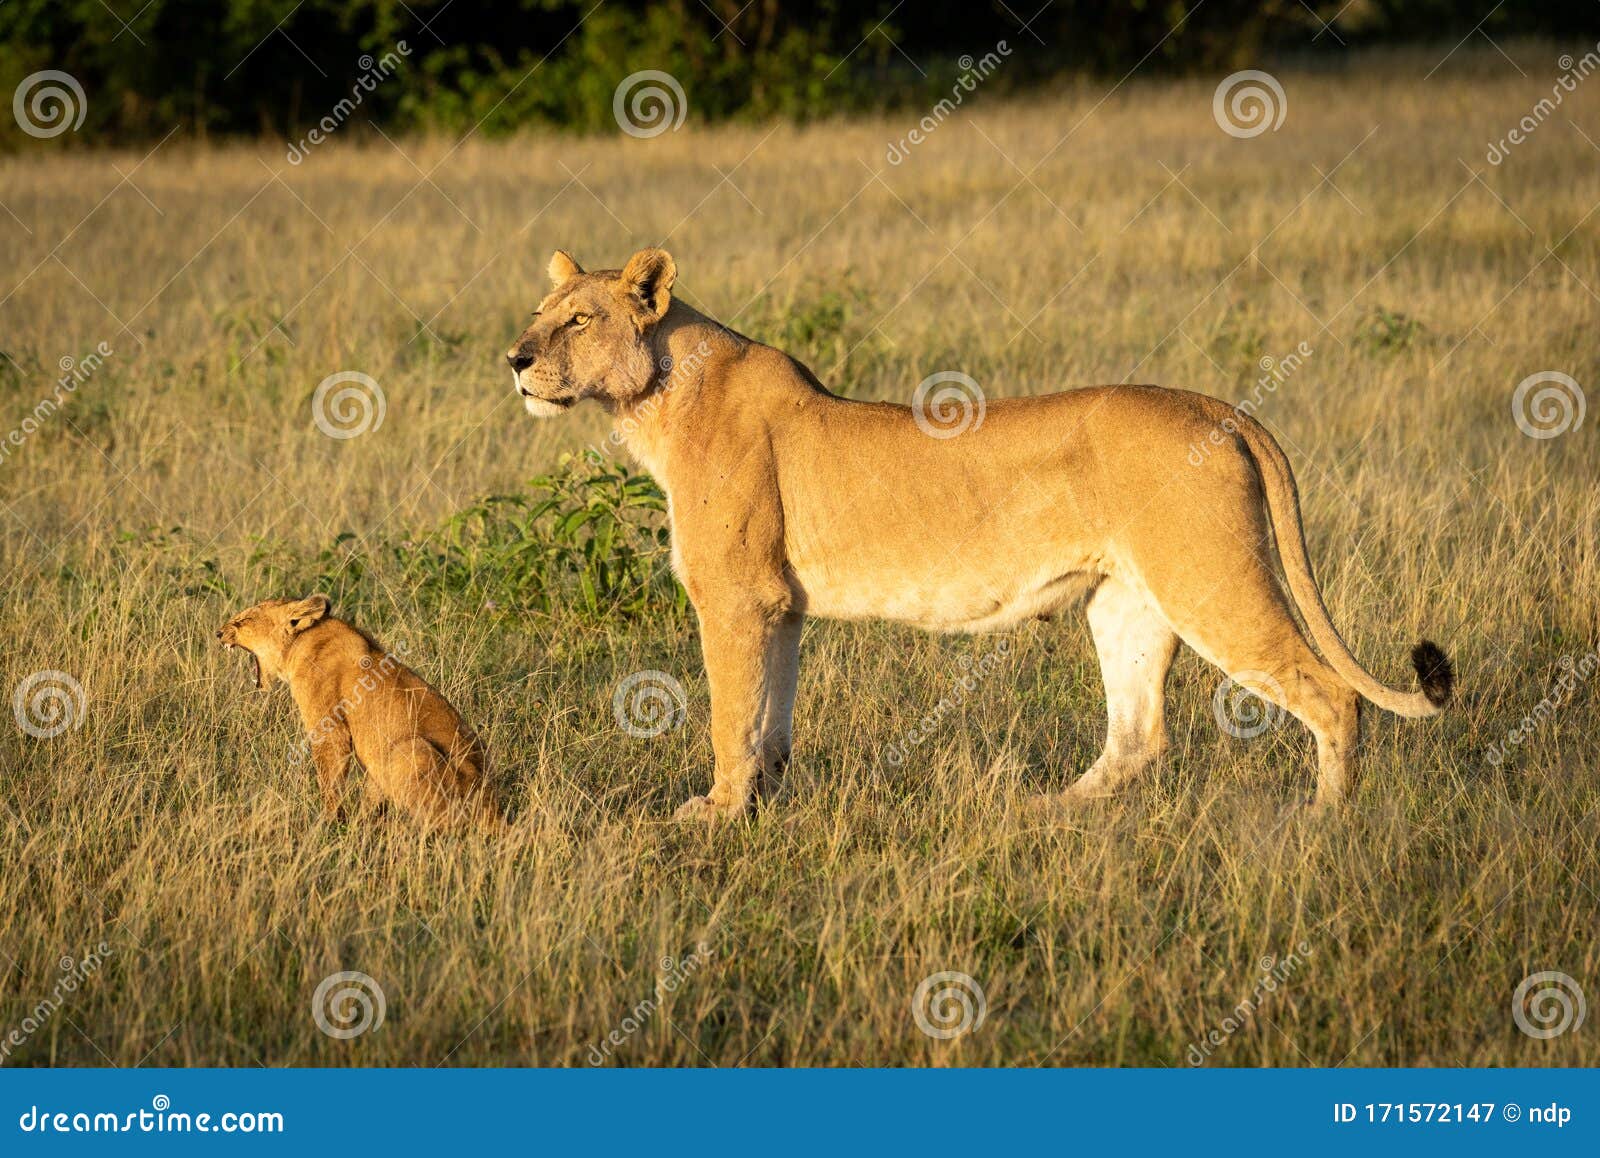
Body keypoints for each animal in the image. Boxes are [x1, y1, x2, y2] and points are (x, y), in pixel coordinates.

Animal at [217, 596, 504, 832]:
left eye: (242, 620)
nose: (218, 633)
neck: (300, 644)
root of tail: (493, 808)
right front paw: (360, 824)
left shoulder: (329, 729)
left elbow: (330, 778)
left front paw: (332, 823)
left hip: (410, 750)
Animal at [505, 248, 1453, 819]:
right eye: (540, 311)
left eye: (579, 319)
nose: (514, 360)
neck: (654, 400)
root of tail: (1221, 406)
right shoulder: (779, 607)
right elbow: (770, 716)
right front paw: (763, 804)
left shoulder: (736, 598)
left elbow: (729, 714)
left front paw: (715, 815)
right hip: (1127, 603)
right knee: (1138, 736)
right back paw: (1049, 814)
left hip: (1211, 582)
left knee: (1330, 696)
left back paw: (1323, 823)